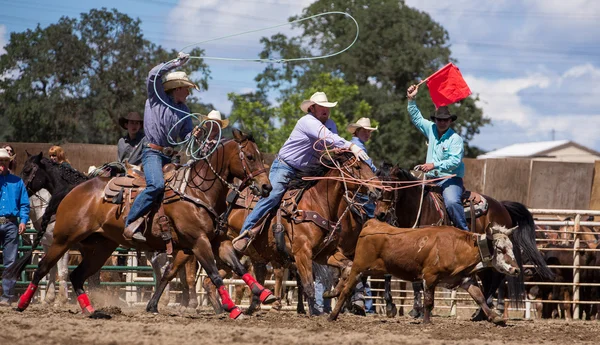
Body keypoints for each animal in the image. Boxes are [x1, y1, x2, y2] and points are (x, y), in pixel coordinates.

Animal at [10, 130, 276, 320]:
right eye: (250, 157)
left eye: (260, 156)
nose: (266, 187)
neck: (196, 191)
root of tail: (73, 191)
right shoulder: (198, 242)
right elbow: (213, 273)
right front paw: (234, 309)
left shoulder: (217, 241)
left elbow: (237, 268)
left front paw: (265, 294)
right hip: (62, 241)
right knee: (43, 268)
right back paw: (22, 304)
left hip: (100, 248)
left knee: (77, 276)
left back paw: (91, 310)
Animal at [328, 219, 520, 324]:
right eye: (501, 249)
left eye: (511, 247)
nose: (517, 269)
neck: (456, 246)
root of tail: (373, 224)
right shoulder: (430, 277)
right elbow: (428, 301)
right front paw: (427, 321)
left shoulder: (466, 279)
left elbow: (480, 298)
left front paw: (495, 317)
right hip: (359, 267)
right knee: (346, 289)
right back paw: (332, 315)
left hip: (372, 270)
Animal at [376, 165, 552, 318]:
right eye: (377, 187)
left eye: (390, 186)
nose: (380, 215)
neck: (421, 208)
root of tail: (502, 206)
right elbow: (392, 273)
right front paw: (393, 307)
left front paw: (417, 310)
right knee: (488, 279)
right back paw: (480, 312)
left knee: (496, 278)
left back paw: (481, 313)